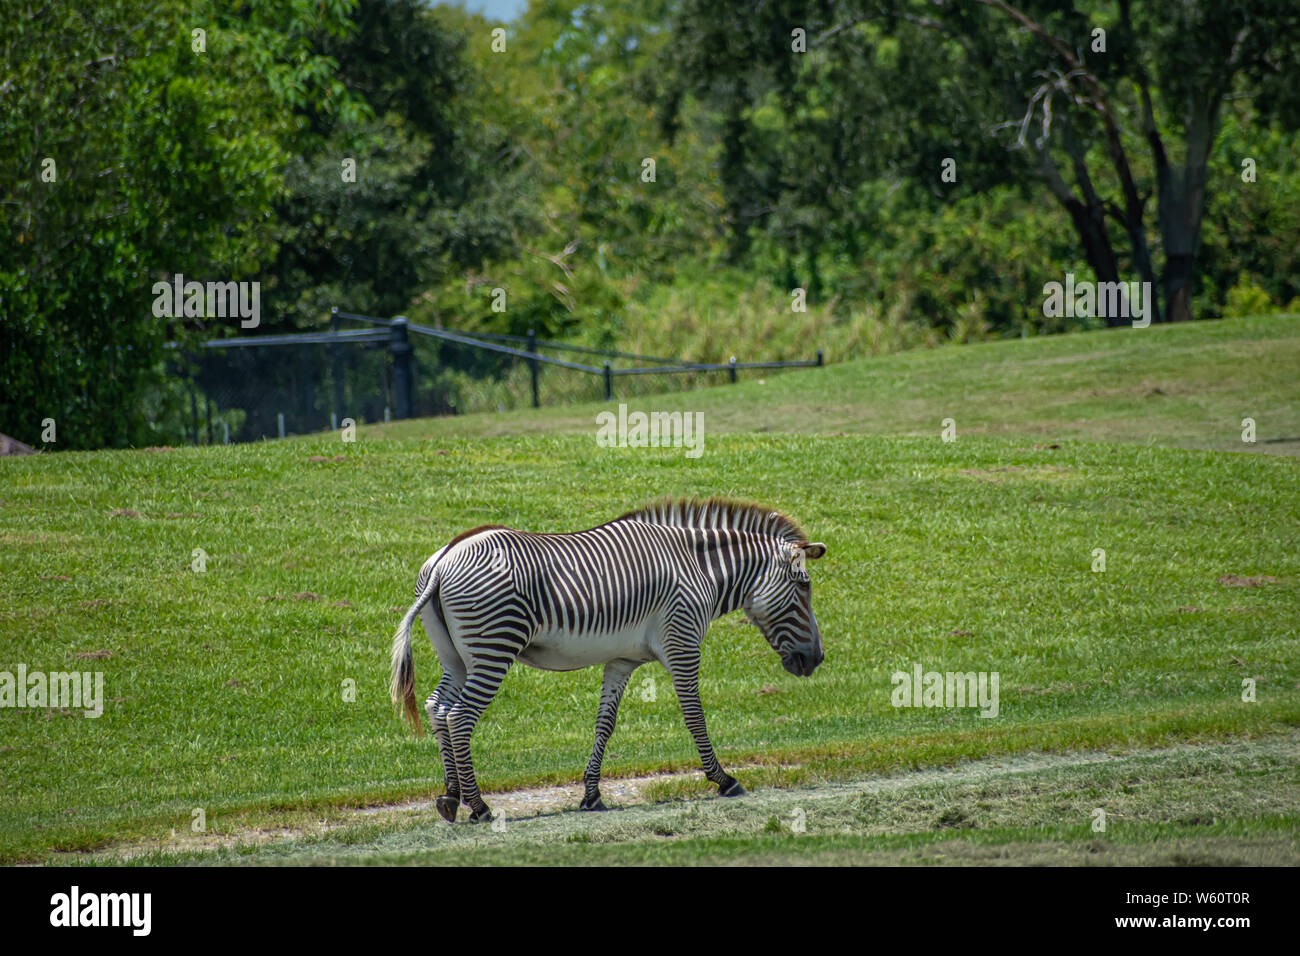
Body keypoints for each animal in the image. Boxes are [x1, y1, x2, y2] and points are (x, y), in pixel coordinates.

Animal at [389, 497, 827, 823]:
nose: (817, 659)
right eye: (803, 586)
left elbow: (605, 723)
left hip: (457, 658)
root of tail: (445, 557)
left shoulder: (621, 660)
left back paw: (450, 797)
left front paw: (591, 793)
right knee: (460, 717)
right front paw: (723, 780)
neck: (697, 568)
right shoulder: (682, 642)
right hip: (494, 647)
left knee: (437, 707)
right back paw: (479, 807)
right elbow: (694, 714)